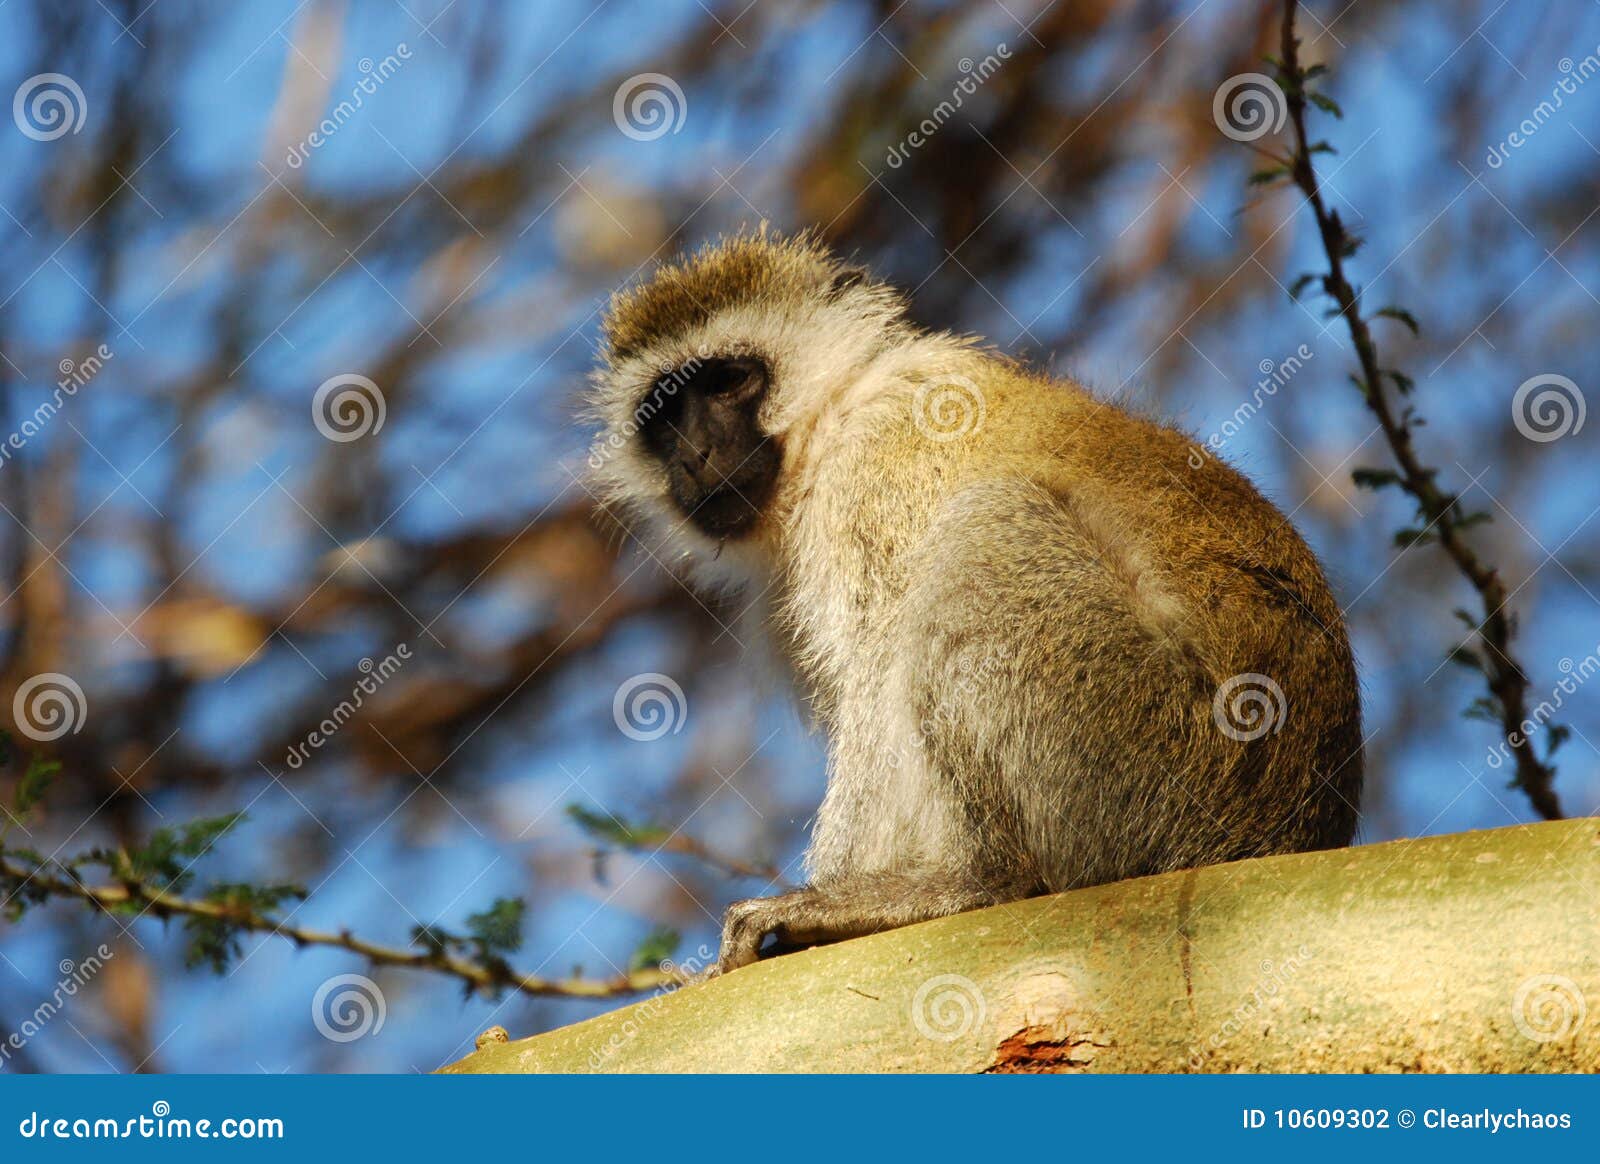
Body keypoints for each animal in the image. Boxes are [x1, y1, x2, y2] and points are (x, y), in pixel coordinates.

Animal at [587, 229, 1362, 975]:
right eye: (663, 415)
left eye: (728, 380)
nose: (694, 455)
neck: (830, 421)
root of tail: (1289, 828)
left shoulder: (876, 465)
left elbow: (879, 663)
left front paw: (836, 900)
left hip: (1157, 754)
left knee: (981, 534)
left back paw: (986, 880)